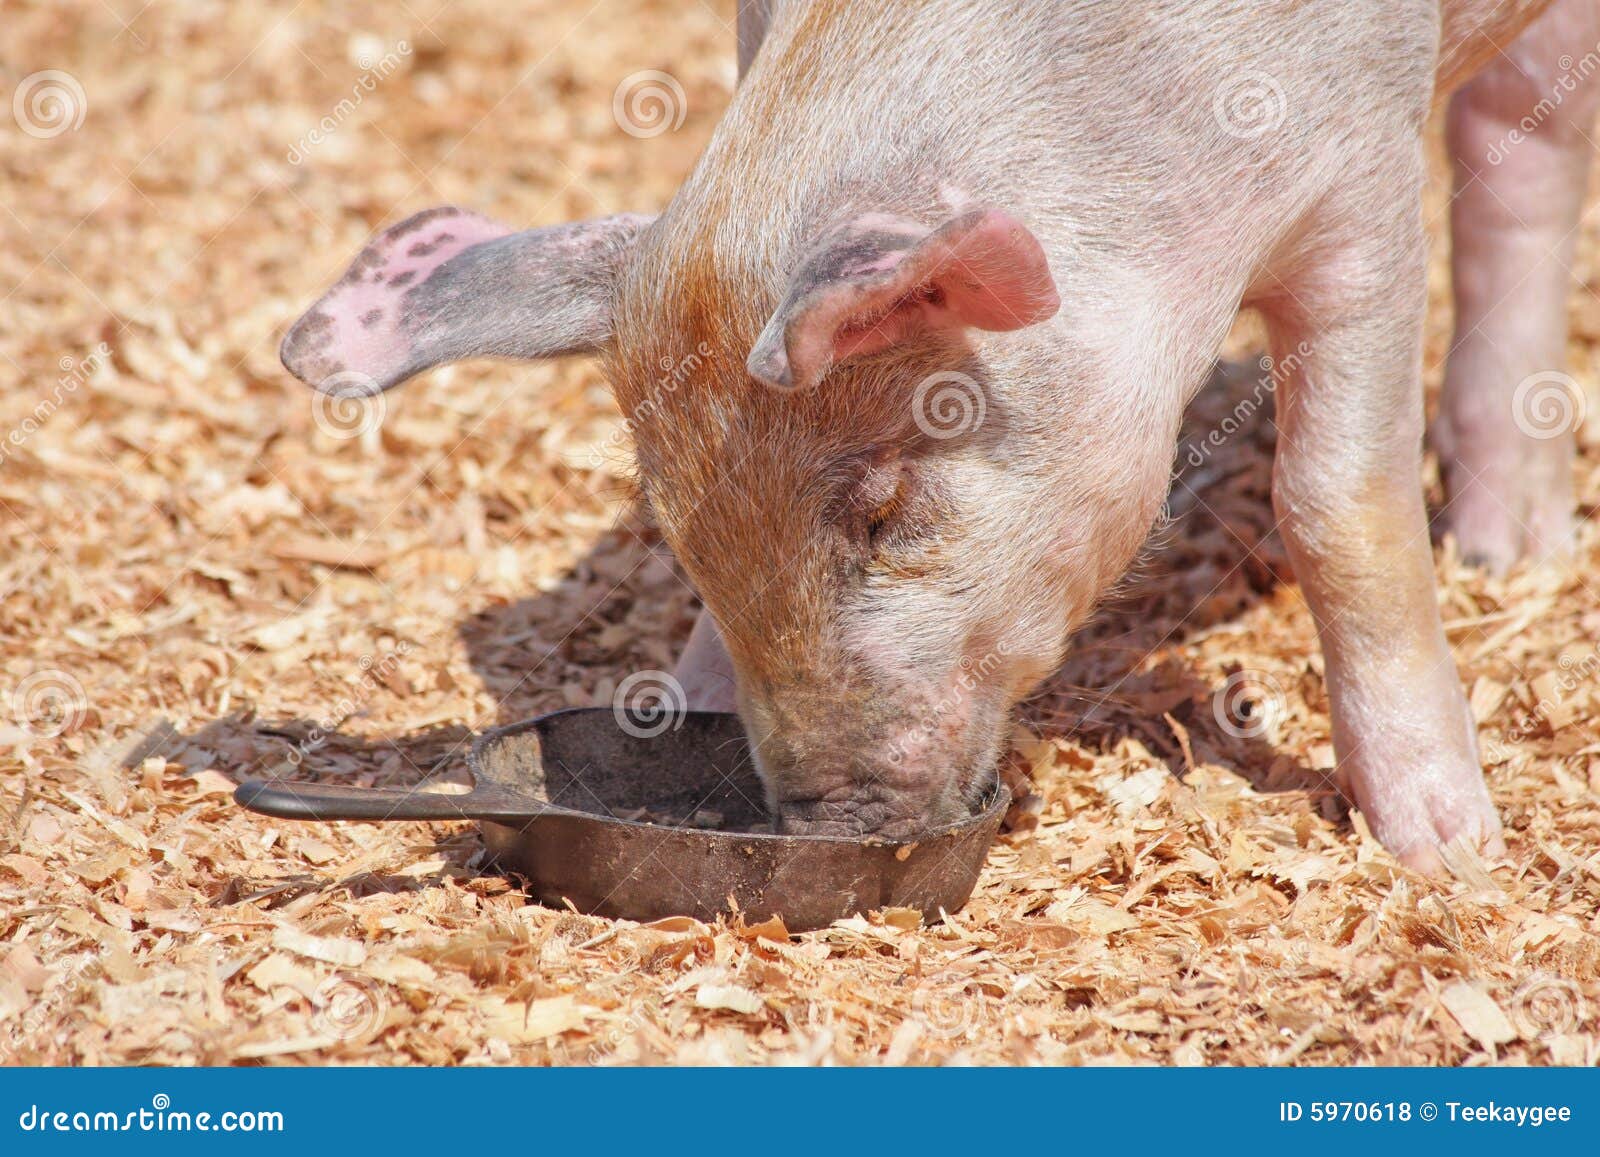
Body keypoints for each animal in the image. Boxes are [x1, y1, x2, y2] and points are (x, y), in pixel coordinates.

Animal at [280, 0, 1597, 876]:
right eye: (680, 531)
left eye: (885, 506)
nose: (825, 824)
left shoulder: (1360, 191)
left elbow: (1336, 507)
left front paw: (1445, 853)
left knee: (1524, 152)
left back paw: (1508, 553)